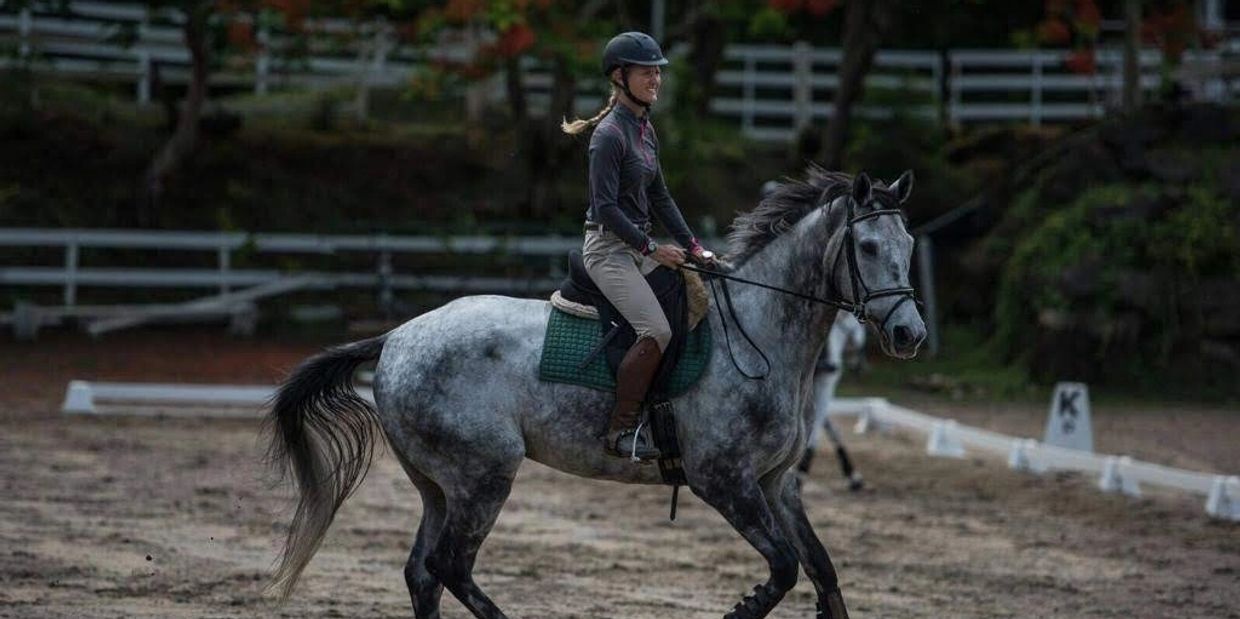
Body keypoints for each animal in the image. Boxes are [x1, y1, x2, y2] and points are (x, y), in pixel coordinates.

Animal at [264, 167, 926, 619]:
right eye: (868, 248)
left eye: (909, 247)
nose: (908, 334)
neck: (760, 332)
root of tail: (397, 337)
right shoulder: (724, 481)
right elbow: (785, 568)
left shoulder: (775, 484)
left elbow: (822, 570)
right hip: (483, 476)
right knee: (451, 565)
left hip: (440, 485)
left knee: (424, 572)